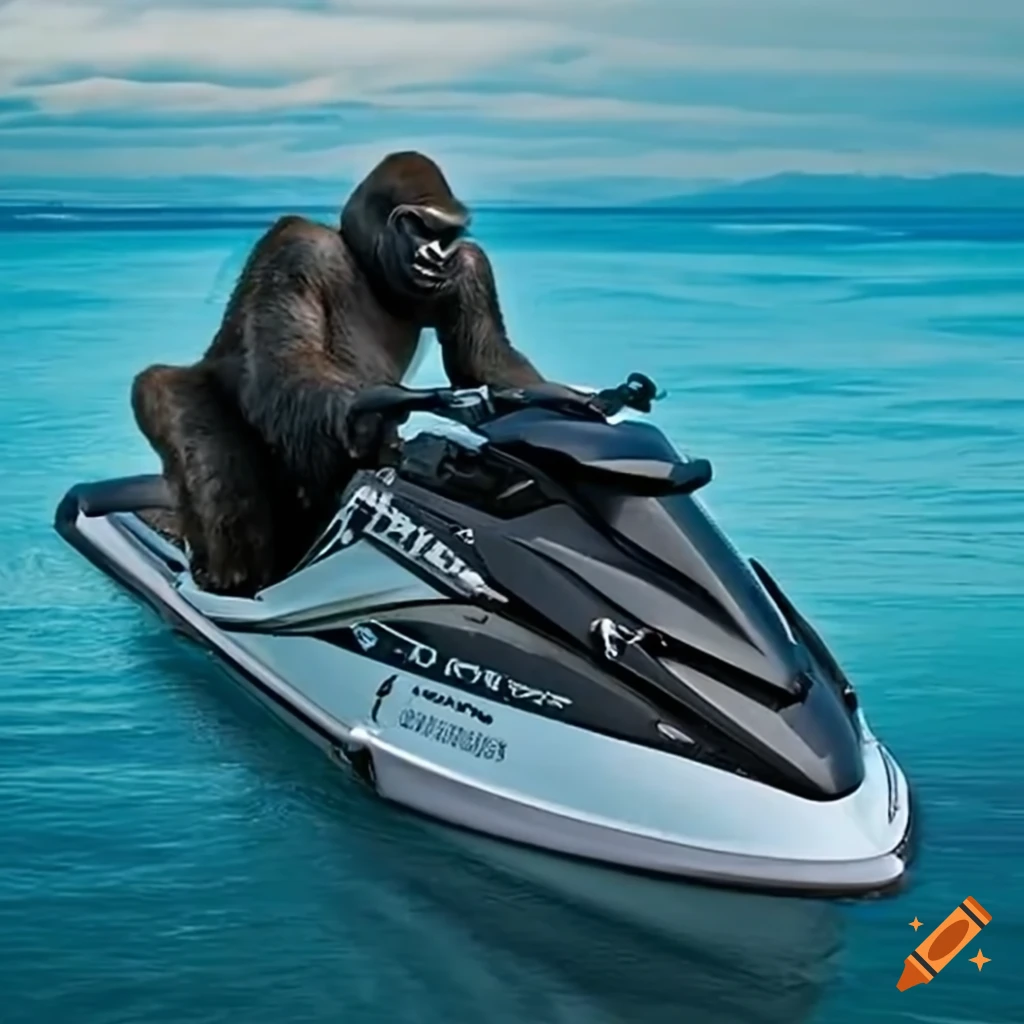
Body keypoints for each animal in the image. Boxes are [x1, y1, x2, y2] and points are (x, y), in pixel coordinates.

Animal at [130, 151, 544, 596]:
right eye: (418, 226)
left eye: (446, 234)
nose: (434, 256)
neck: (368, 266)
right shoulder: (298, 247)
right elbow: (287, 364)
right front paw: (372, 412)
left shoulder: (467, 264)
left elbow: (485, 363)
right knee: (204, 448)